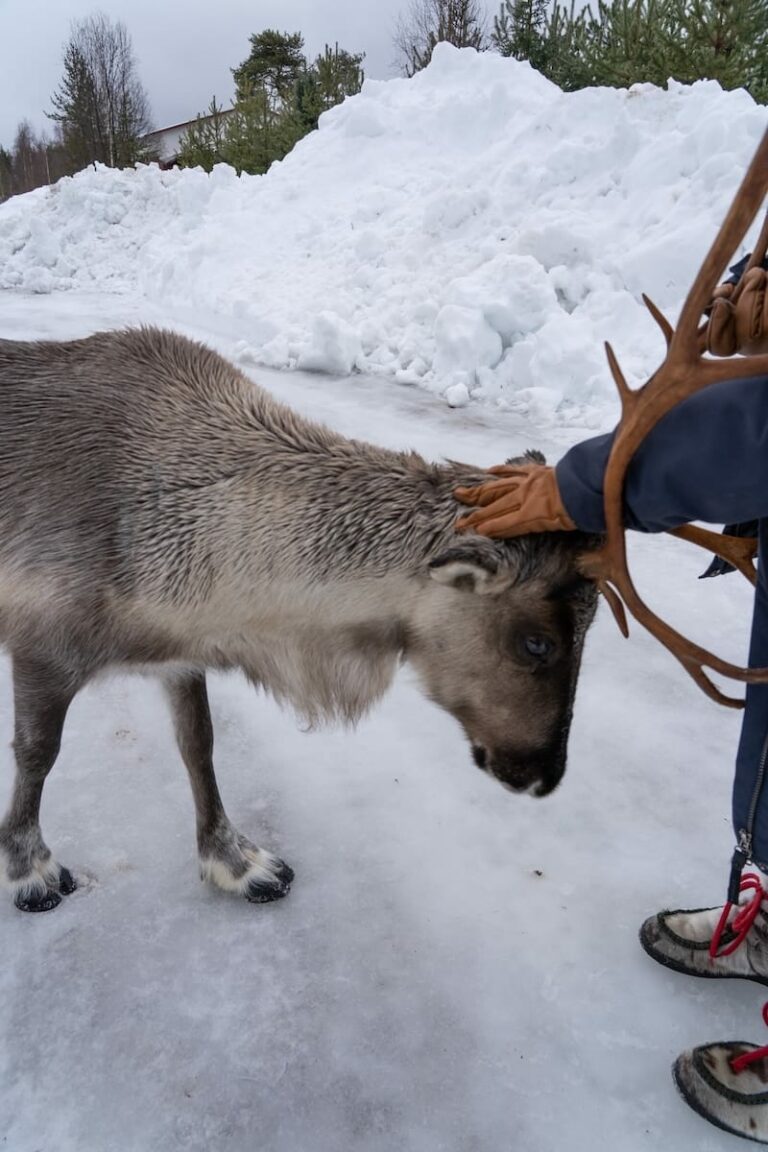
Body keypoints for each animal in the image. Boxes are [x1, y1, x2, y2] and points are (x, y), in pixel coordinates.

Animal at [0, 327, 599, 913]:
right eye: (537, 643)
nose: (545, 773)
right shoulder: (42, 645)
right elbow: (38, 752)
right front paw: (29, 868)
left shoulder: (179, 653)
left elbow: (199, 745)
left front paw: (235, 861)